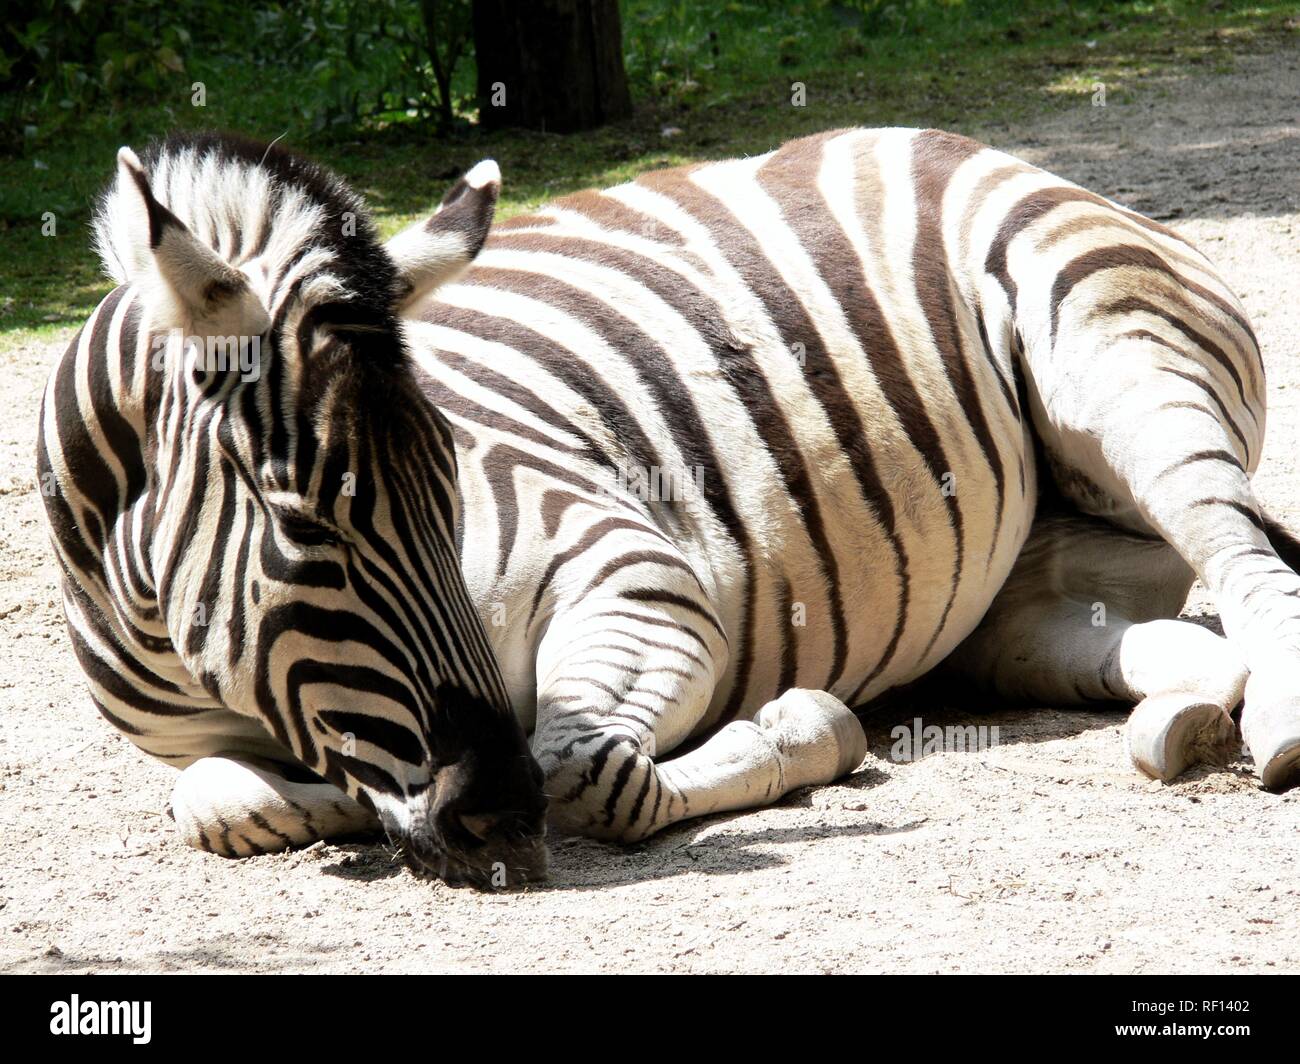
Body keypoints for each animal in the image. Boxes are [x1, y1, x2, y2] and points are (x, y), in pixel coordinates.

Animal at [39, 128, 1300, 888]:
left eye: (457, 485)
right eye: (306, 523)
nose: (496, 810)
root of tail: (957, 143)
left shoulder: (632, 569)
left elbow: (588, 766)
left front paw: (803, 727)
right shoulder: (221, 748)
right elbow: (216, 799)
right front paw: (347, 808)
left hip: (1119, 358)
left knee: (1250, 568)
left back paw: (1274, 725)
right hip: (1011, 594)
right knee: (1141, 628)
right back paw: (1188, 718)